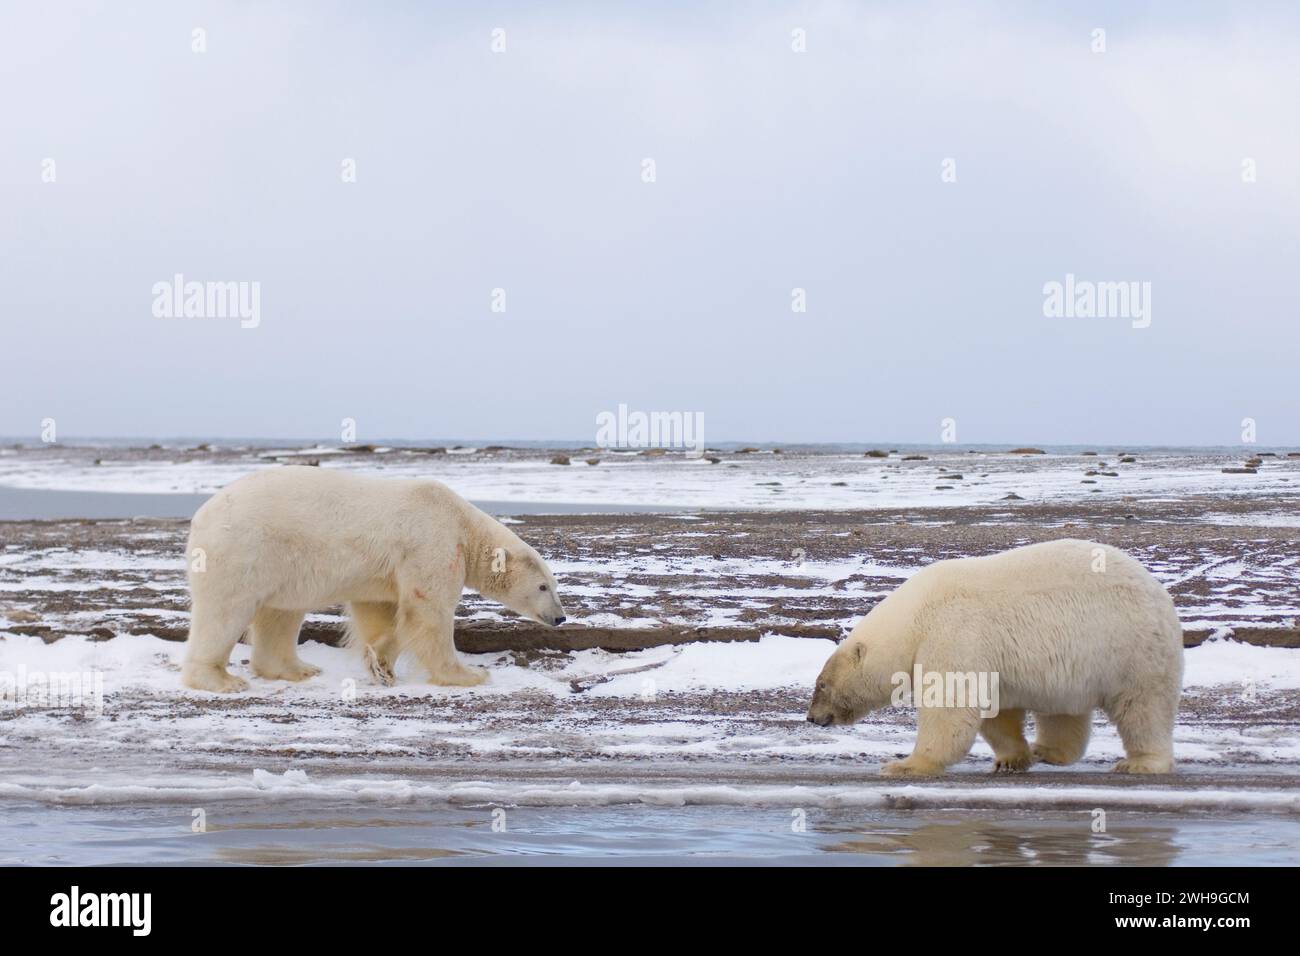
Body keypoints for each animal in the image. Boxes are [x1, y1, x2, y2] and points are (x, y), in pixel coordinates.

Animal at [181, 467, 567, 693]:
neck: (462, 523)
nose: (561, 617)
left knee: (281, 613)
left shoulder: (385, 571)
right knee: (225, 612)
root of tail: (201, 516)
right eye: (543, 586)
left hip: (283, 563)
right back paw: (221, 680)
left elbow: (380, 610)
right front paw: (469, 675)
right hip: (244, 549)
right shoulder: (431, 543)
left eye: (554, 585)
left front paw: (381, 665)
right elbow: (429, 614)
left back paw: (298, 669)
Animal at [806, 538, 1183, 776]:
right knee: (1062, 710)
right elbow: (995, 708)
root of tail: (1159, 593)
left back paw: (1141, 762)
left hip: (1133, 649)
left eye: (822, 684)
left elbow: (951, 705)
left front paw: (905, 765)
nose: (811, 717)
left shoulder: (954, 633)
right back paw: (1047, 750)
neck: (914, 618)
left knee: (1143, 707)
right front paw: (1012, 759)